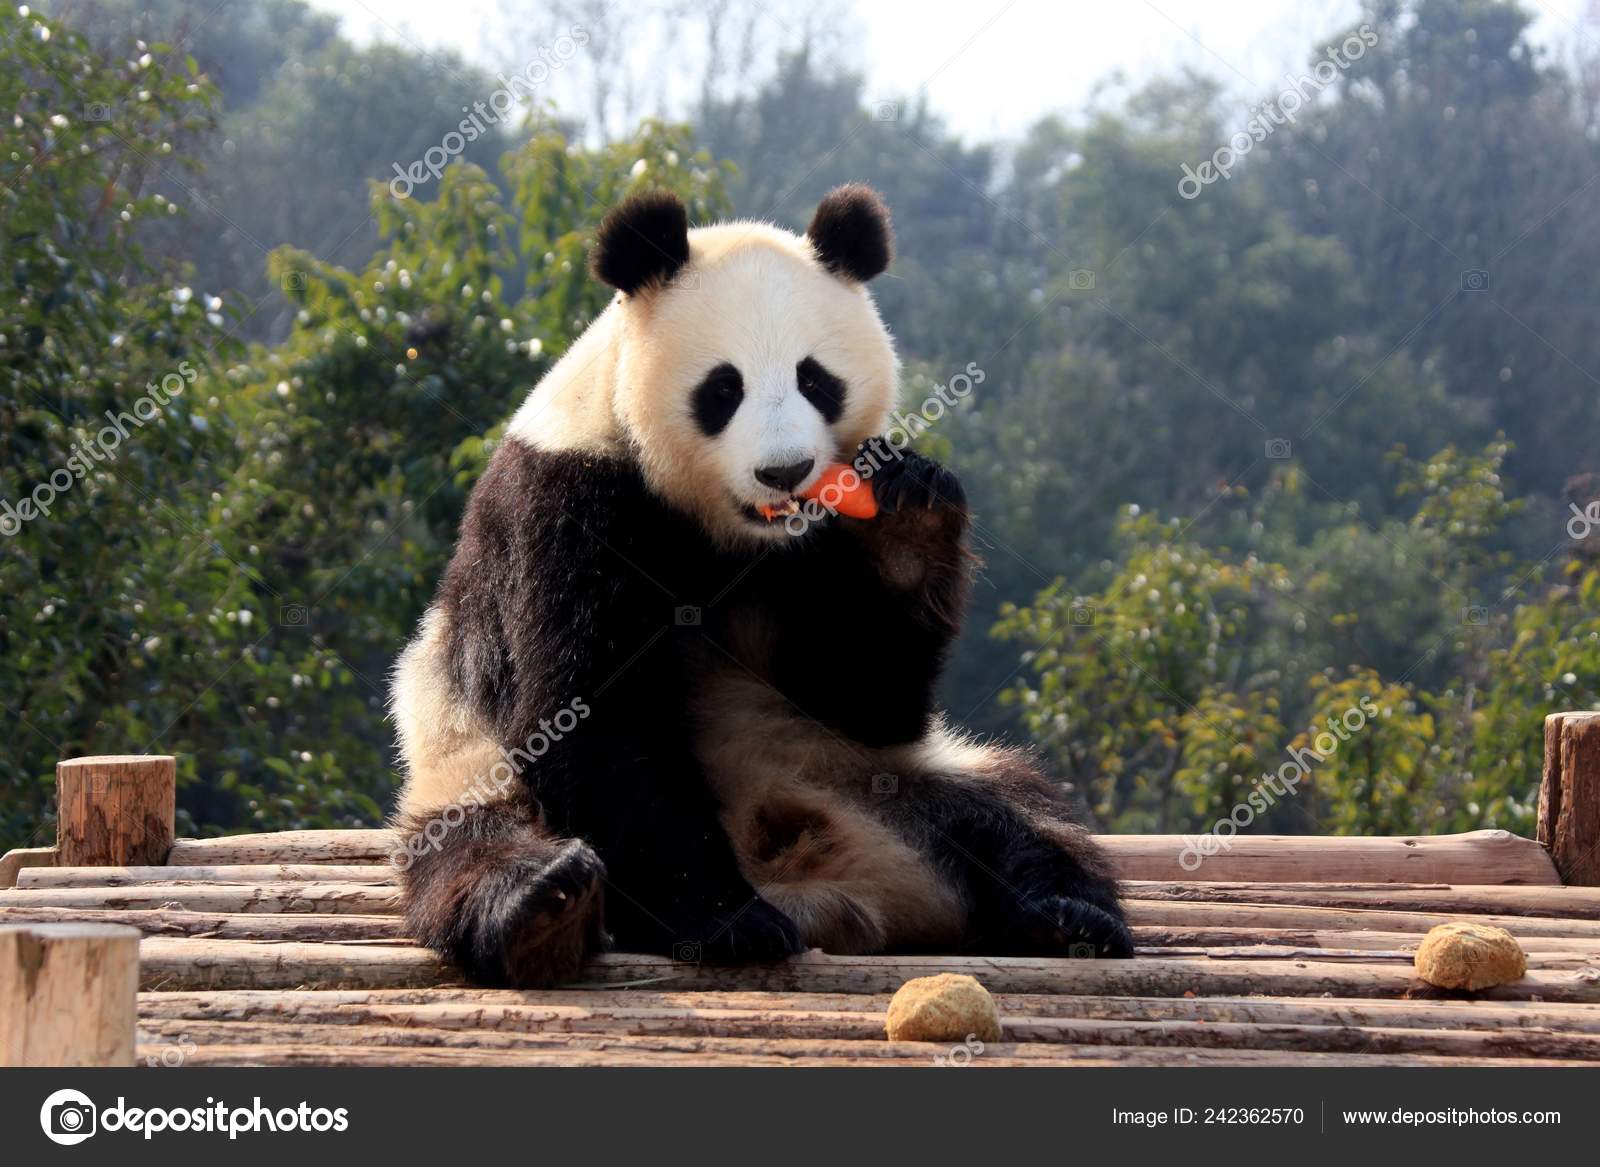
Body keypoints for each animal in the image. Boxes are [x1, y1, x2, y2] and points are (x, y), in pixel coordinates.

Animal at [389, 184, 1131, 987]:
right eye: (723, 389)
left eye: (816, 380)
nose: (785, 471)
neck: (731, 532)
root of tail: (842, 884)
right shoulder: (569, 501)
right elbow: (588, 713)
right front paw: (728, 922)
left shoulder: (815, 554)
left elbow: (864, 696)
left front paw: (905, 525)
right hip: (464, 767)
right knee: (472, 847)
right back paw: (542, 908)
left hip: (872, 774)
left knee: (1015, 816)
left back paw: (1068, 915)